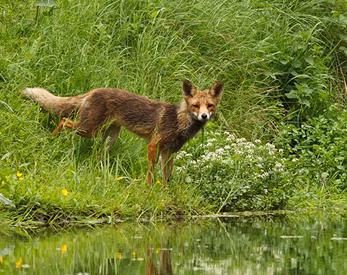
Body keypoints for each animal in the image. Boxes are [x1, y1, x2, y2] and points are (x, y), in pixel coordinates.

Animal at [22, 81, 223, 187]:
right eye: (195, 106)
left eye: (210, 106)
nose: (204, 116)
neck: (177, 121)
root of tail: (94, 90)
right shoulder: (153, 145)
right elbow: (151, 172)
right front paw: (149, 188)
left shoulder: (169, 152)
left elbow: (167, 176)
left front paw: (165, 192)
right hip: (89, 130)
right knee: (64, 121)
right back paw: (51, 139)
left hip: (109, 137)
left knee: (97, 155)